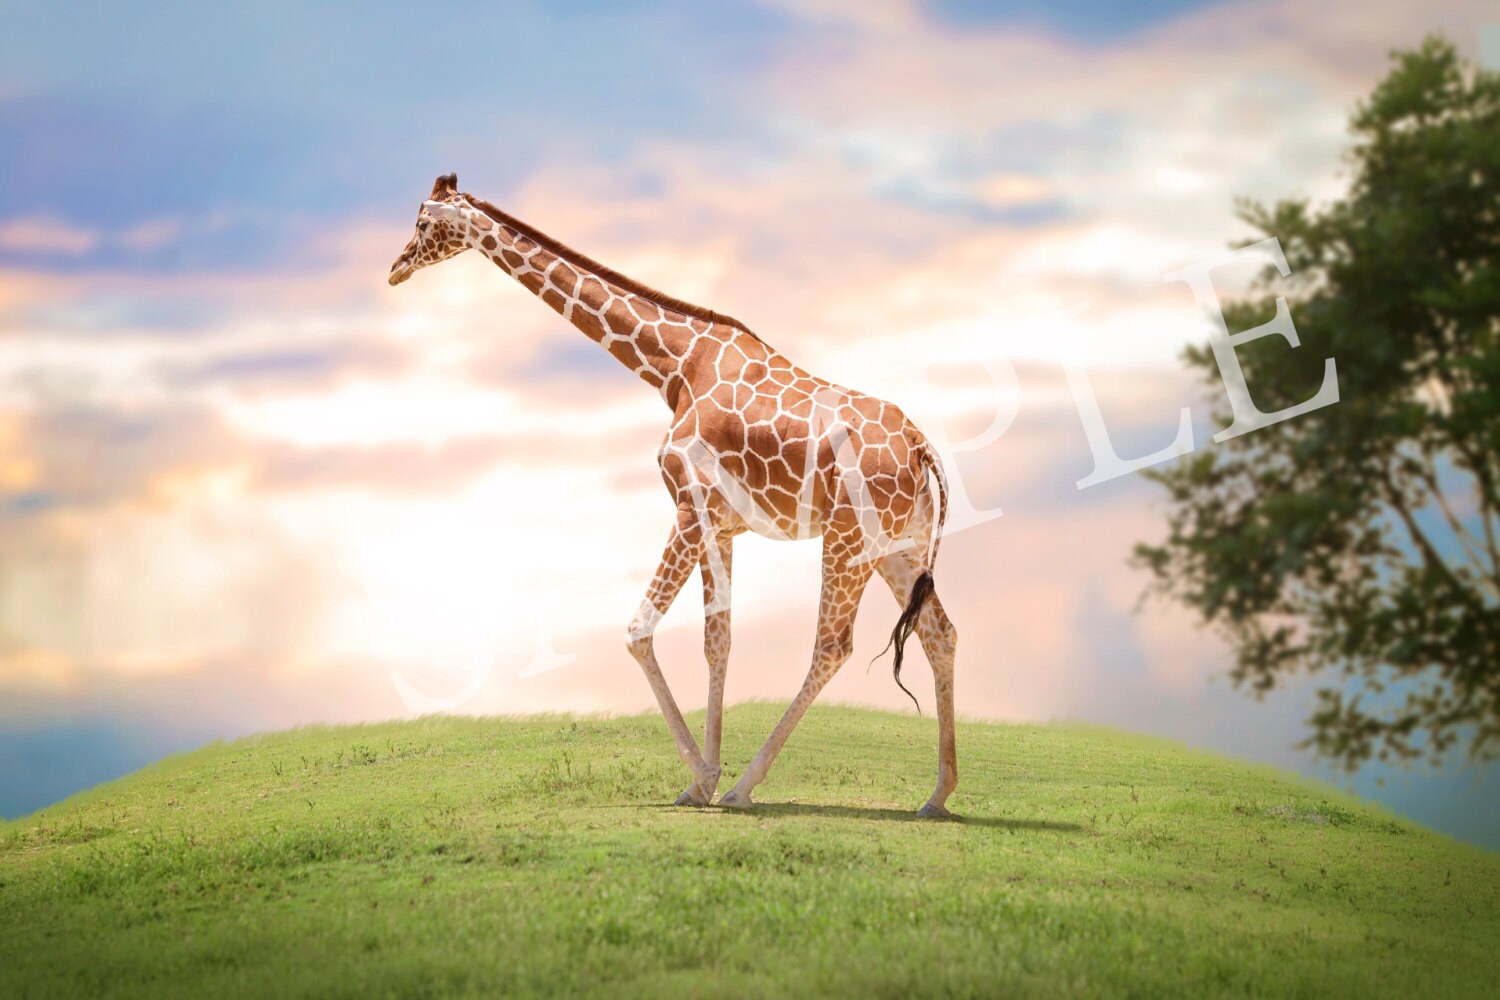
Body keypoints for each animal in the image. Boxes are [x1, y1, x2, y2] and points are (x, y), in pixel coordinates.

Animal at [389, 173, 960, 816]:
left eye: (422, 223)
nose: (395, 268)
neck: (675, 365)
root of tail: (920, 446)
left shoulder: (690, 506)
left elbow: (639, 630)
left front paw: (703, 777)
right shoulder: (720, 524)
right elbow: (718, 641)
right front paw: (700, 775)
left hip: (848, 539)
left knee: (832, 645)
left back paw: (745, 786)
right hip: (896, 547)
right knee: (940, 634)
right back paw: (938, 793)